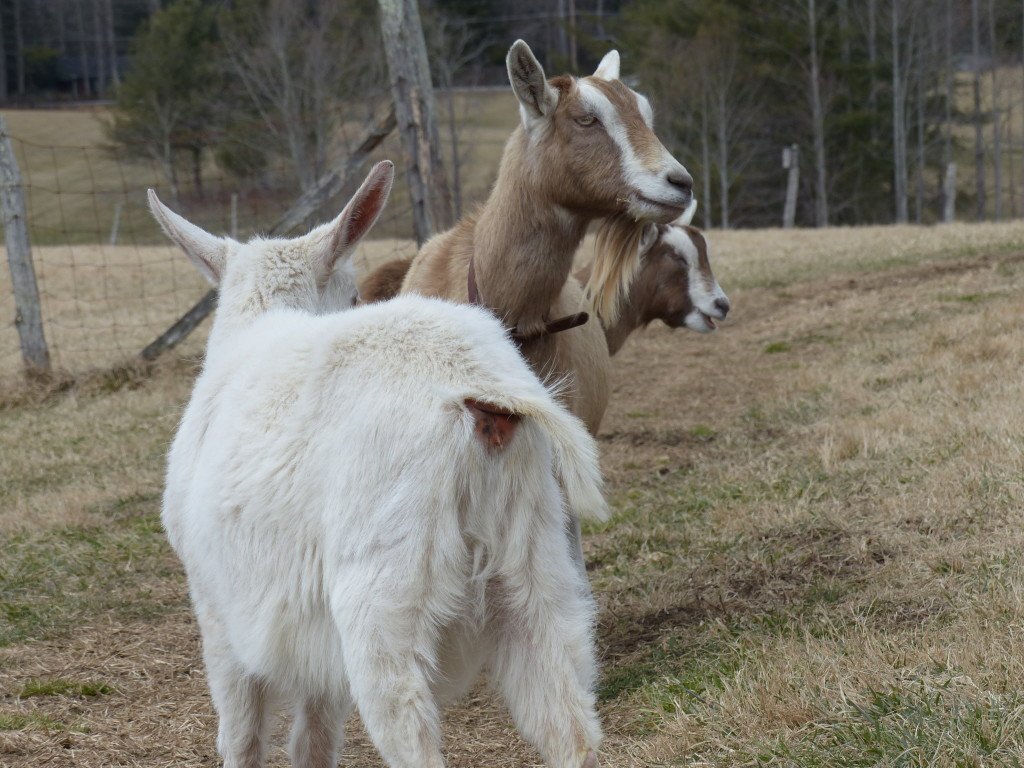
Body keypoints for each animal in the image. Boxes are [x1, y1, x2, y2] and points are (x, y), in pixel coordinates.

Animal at [152, 162, 606, 768]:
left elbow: (243, 736)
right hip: (538, 566)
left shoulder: (217, 603)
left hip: (385, 591)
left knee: (409, 729)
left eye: (351, 292)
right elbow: (314, 738)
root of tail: (476, 385)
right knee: (568, 723)